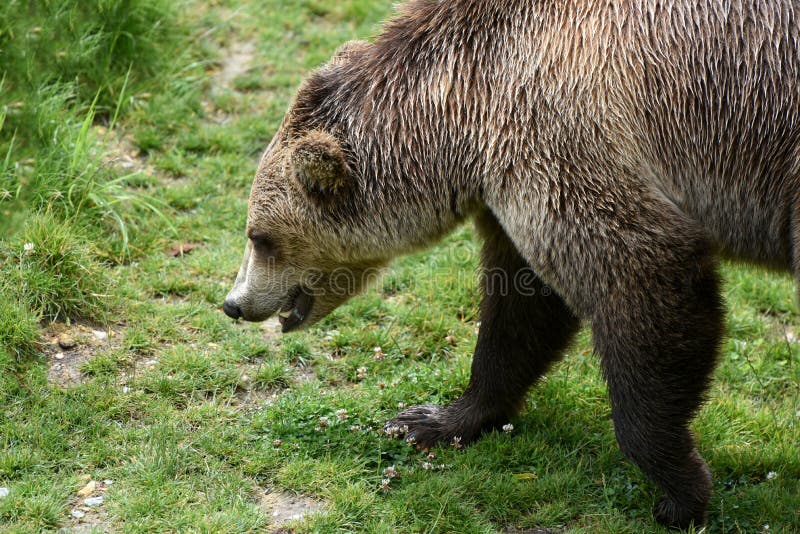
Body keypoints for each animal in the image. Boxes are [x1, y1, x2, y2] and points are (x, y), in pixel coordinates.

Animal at [222, 0, 800, 529]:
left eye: (260, 237)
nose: (234, 303)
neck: (458, 117)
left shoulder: (563, 136)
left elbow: (642, 282)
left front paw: (679, 491)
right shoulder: (517, 175)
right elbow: (520, 307)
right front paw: (431, 420)